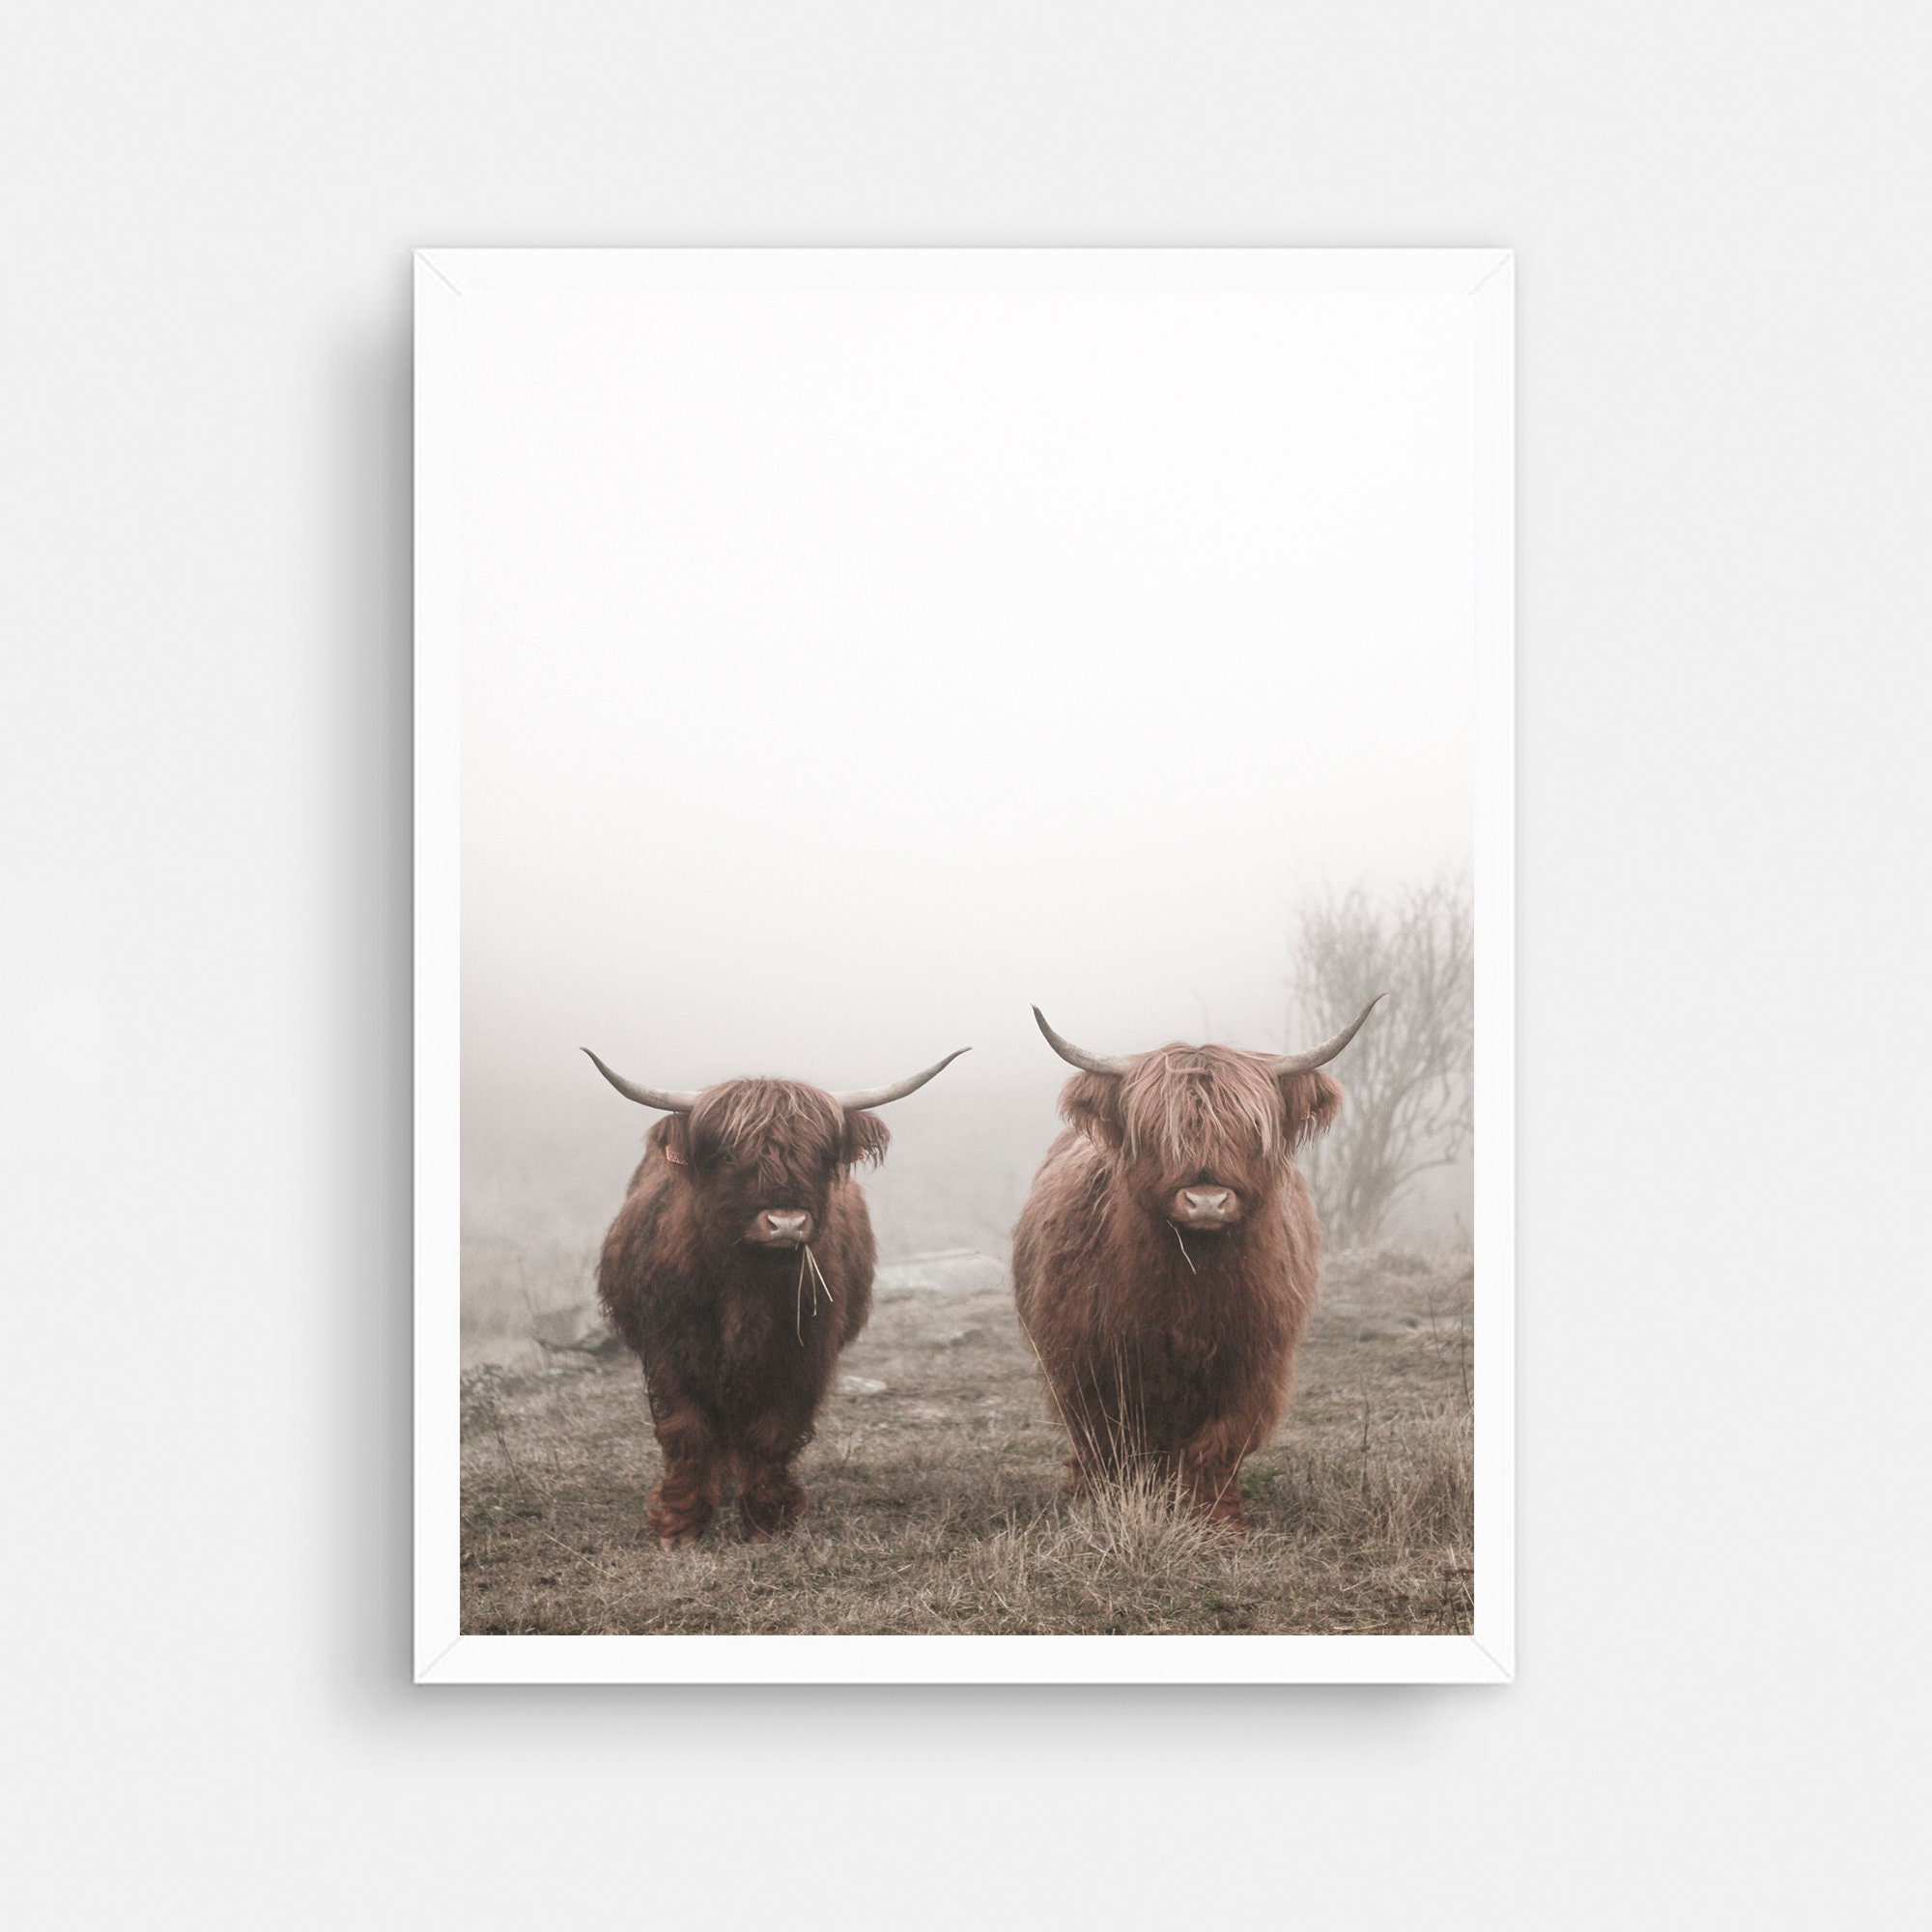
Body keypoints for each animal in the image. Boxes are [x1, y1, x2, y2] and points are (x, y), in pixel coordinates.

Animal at [586, 1044, 968, 1547]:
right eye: (730, 1154)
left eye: (819, 1154)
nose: (785, 1222)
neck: (747, 1285)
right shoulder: (671, 1352)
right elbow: (688, 1432)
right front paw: (680, 1525)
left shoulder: (801, 1355)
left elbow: (772, 1432)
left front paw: (769, 1521)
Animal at [1012, 999, 1382, 1533]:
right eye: (1155, 1132)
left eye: (1251, 1130)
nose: (1206, 1200)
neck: (1193, 1281)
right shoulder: (1089, 1363)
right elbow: (1112, 1444)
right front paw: (1108, 1509)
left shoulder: (1254, 1362)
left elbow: (1219, 1446)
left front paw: (1219, 1526)